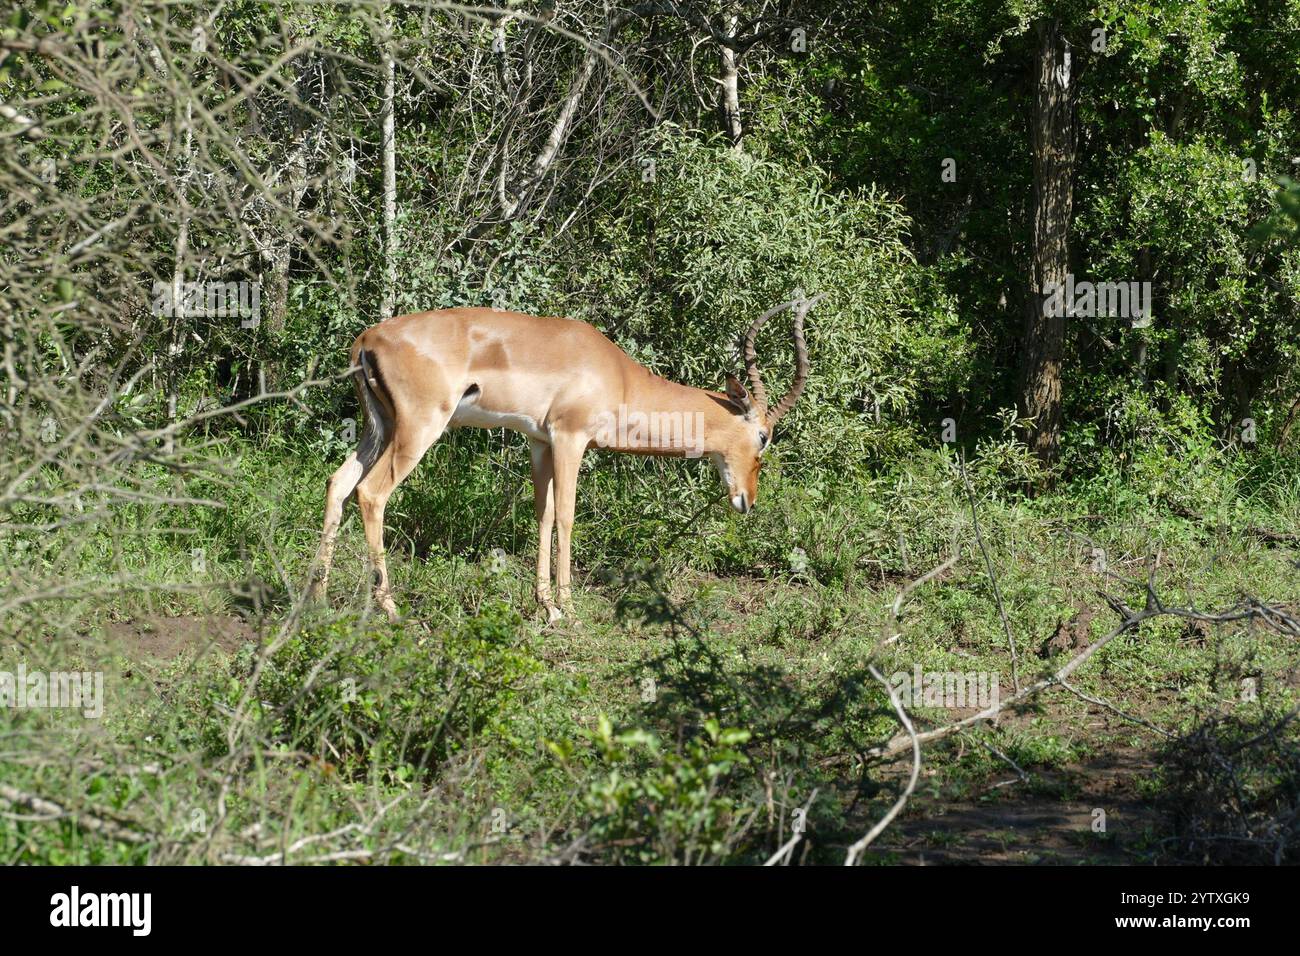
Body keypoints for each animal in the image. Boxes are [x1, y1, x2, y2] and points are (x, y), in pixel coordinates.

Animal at [309, 295, 821, 623]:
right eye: (762, 437)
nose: (747, 500)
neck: (619, 376)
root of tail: (367, 337)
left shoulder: (541, 442)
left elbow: (543, 513)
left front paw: (547, 607)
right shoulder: (570, 438)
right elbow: (567, 517)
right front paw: (570, 609)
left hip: (379, 427)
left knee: (339, 482)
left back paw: (316, 597)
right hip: (418, 429)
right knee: (371, 493)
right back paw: (389, 606)